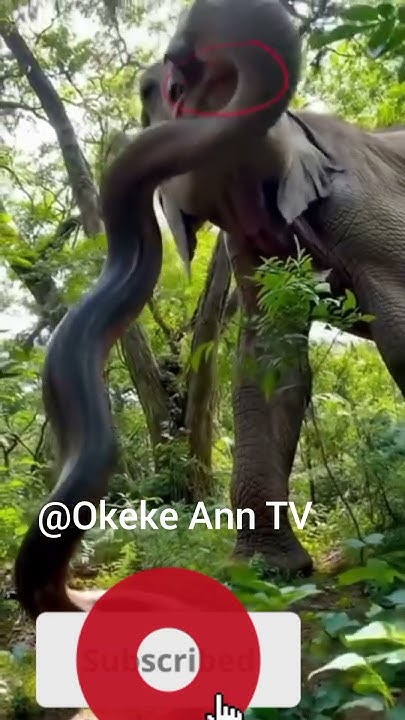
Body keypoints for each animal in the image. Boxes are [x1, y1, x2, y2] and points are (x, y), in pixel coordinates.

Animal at [14, 0, 405, 618]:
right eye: (165, 91)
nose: (182, 50)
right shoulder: (256, 252)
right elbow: (268, 366)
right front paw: (266, 570)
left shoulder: (367, 203)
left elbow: (398, 332)